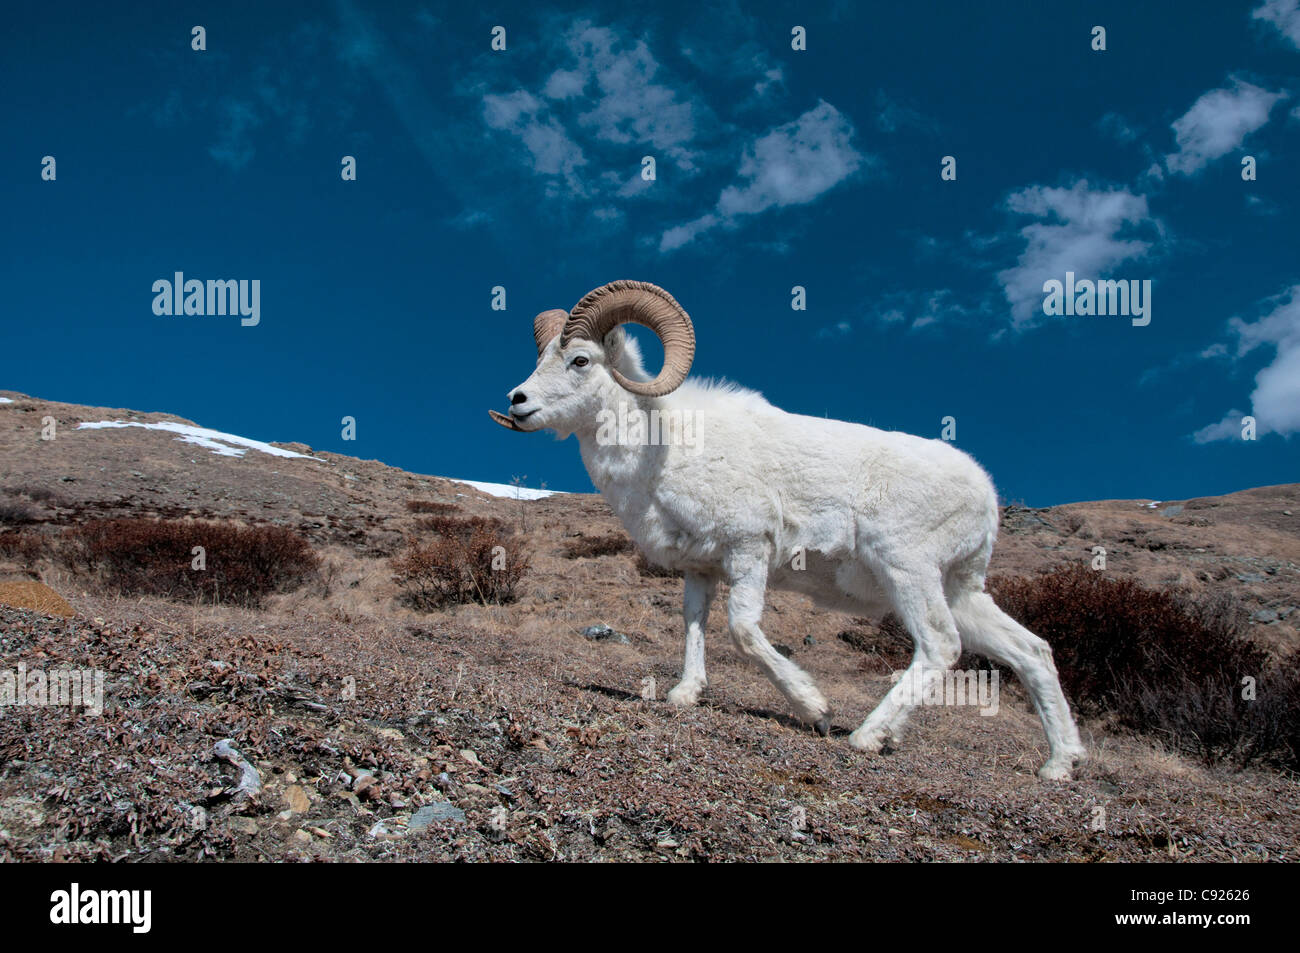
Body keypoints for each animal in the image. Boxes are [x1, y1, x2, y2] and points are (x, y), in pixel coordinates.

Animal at [490, 280, 1088, 780]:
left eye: (580, 360)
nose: (517, 402)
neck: (663, 447)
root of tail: (984, 492)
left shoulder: (749, 551)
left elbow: (743, 632)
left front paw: (815, 710)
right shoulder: (700, 568)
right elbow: (694, 626)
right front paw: (685, 695)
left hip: (907, 570)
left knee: (941, 646)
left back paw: (867, 737)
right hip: (961, 590)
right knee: (1032, 652)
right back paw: (1059, 766)